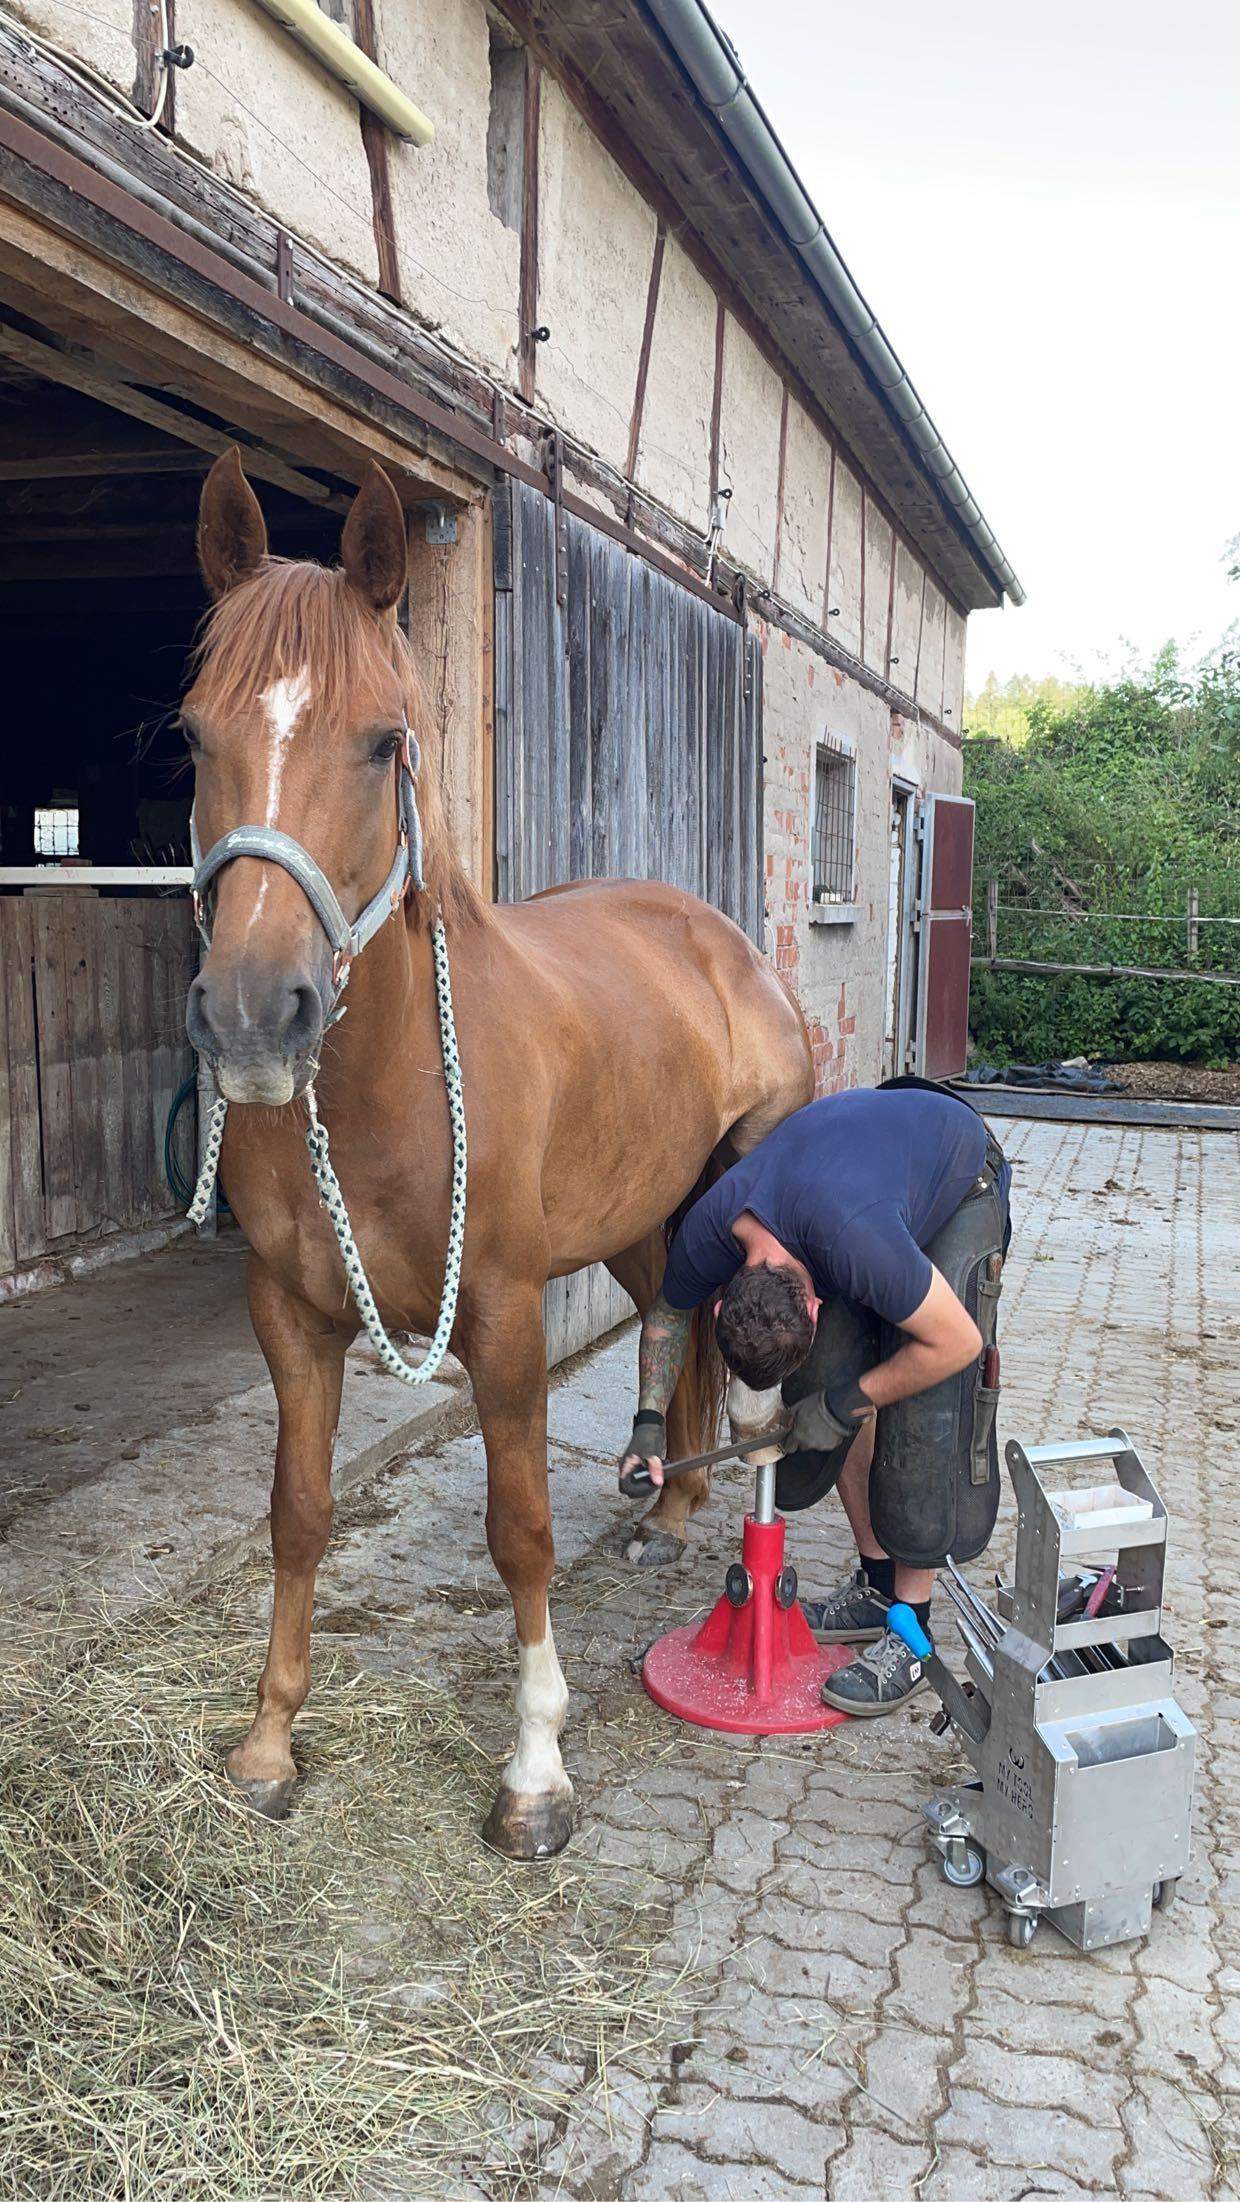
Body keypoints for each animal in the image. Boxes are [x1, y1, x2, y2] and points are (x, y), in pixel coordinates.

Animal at [182, 450, 813, 1858]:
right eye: (194, 734)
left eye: (384, 742)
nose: (251, 1019)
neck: (391, 1091)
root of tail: (717, 937)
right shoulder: (285, 1316)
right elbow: (297, 1514)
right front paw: (268, 1744)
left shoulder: (508, 1322)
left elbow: (516, 1531)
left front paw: (535, 1771)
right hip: (644, 1226)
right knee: (671, 1329)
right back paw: (668, 1515)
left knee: (735, 1388)